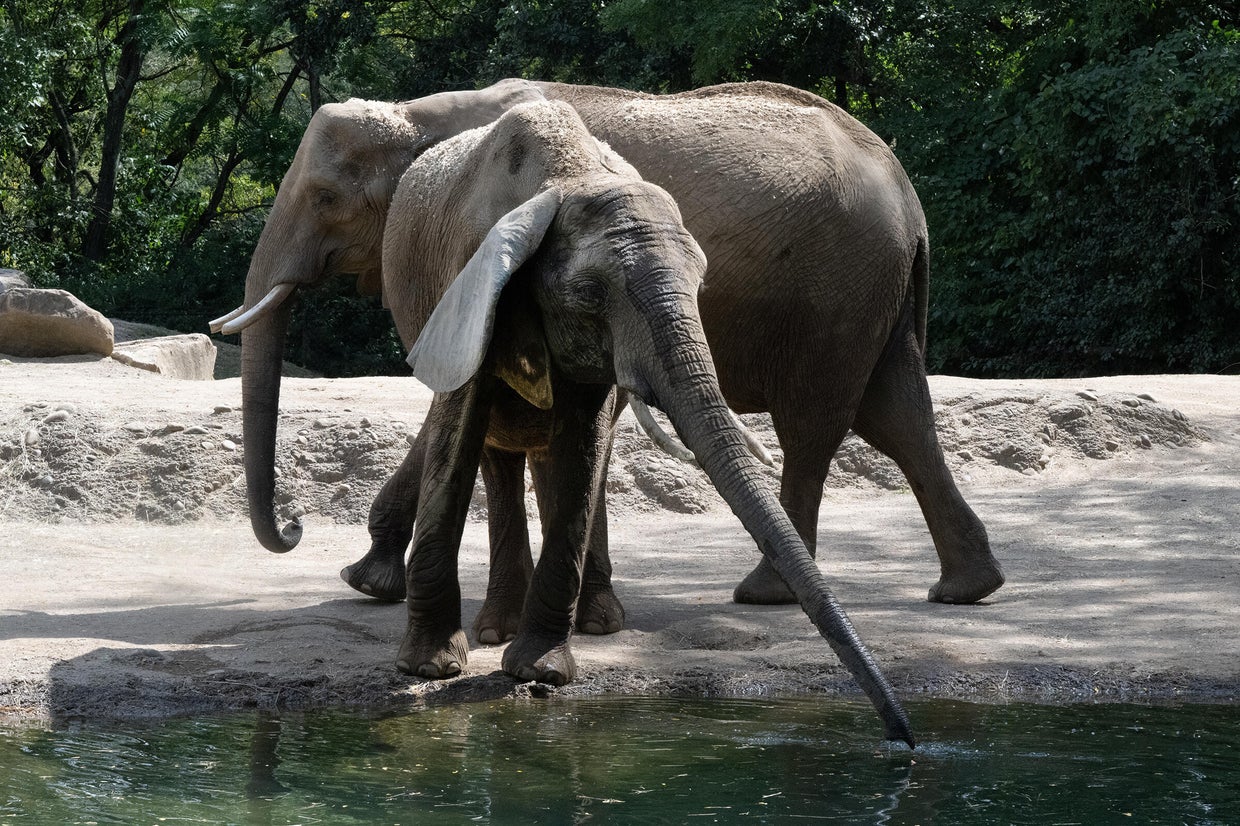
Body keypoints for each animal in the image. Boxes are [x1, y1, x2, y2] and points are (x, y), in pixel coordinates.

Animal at [212, 78, 1002, 649]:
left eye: (325, 197)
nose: (294, 527)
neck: (419, 111)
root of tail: (908, 195)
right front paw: (373, 580)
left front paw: (368, 580)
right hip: (870, 293)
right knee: (895, 416)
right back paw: (967, 589)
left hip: (838, 290)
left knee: (816, 426)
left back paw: (765, 593)